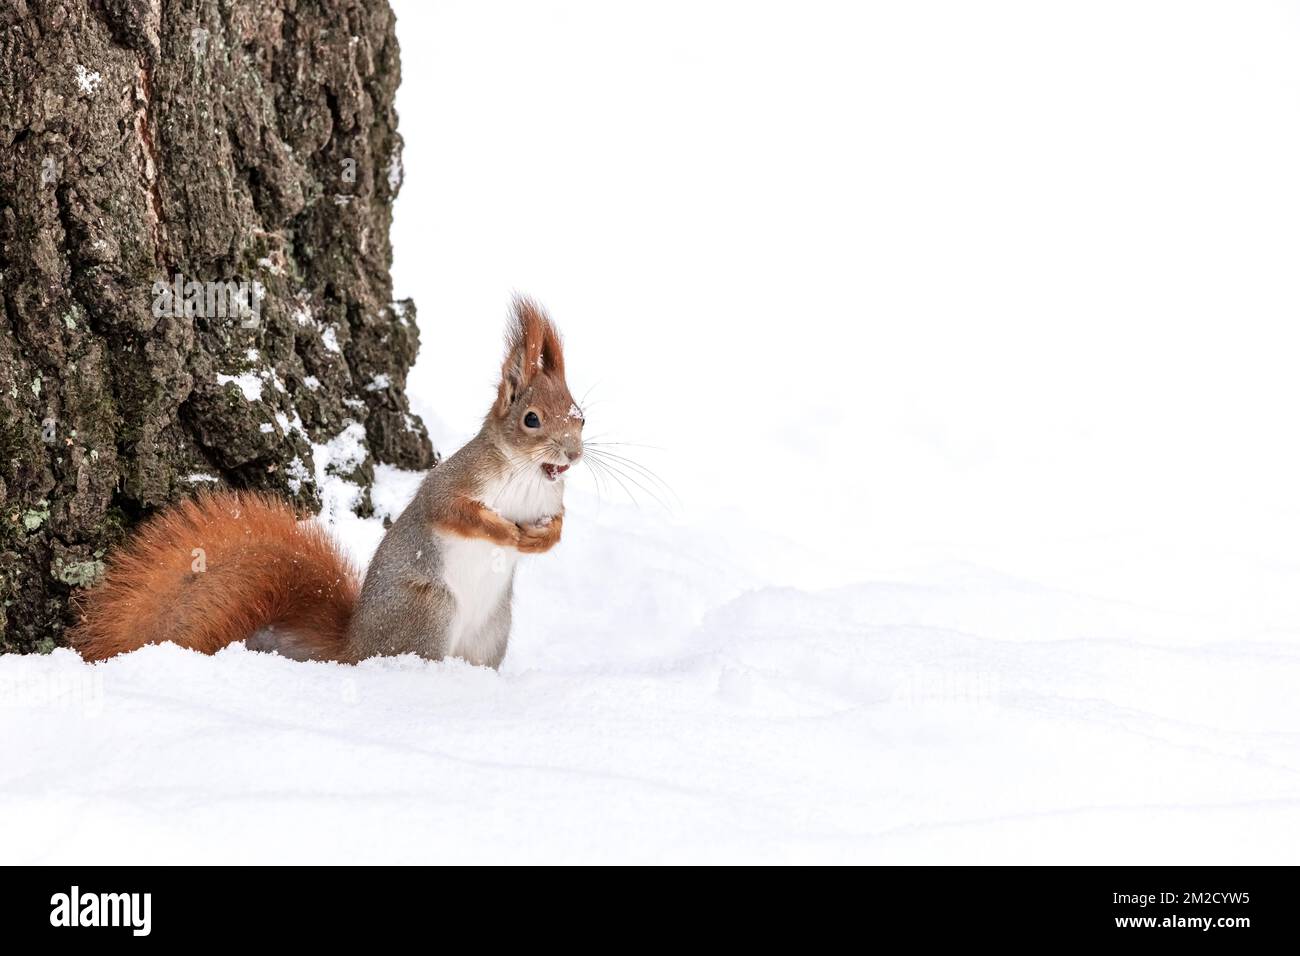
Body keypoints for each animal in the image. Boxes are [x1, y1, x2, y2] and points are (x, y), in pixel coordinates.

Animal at [70, 297, 584, 669]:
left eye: (580, 416)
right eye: (532, 419)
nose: (575, 454)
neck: (525, 474)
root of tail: (352, 648)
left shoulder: (550, 500)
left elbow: (558, 524)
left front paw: (540, 540)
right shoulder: (455, 481)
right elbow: (451, 510)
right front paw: (503, 531)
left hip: (491, 634)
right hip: (430, 611)